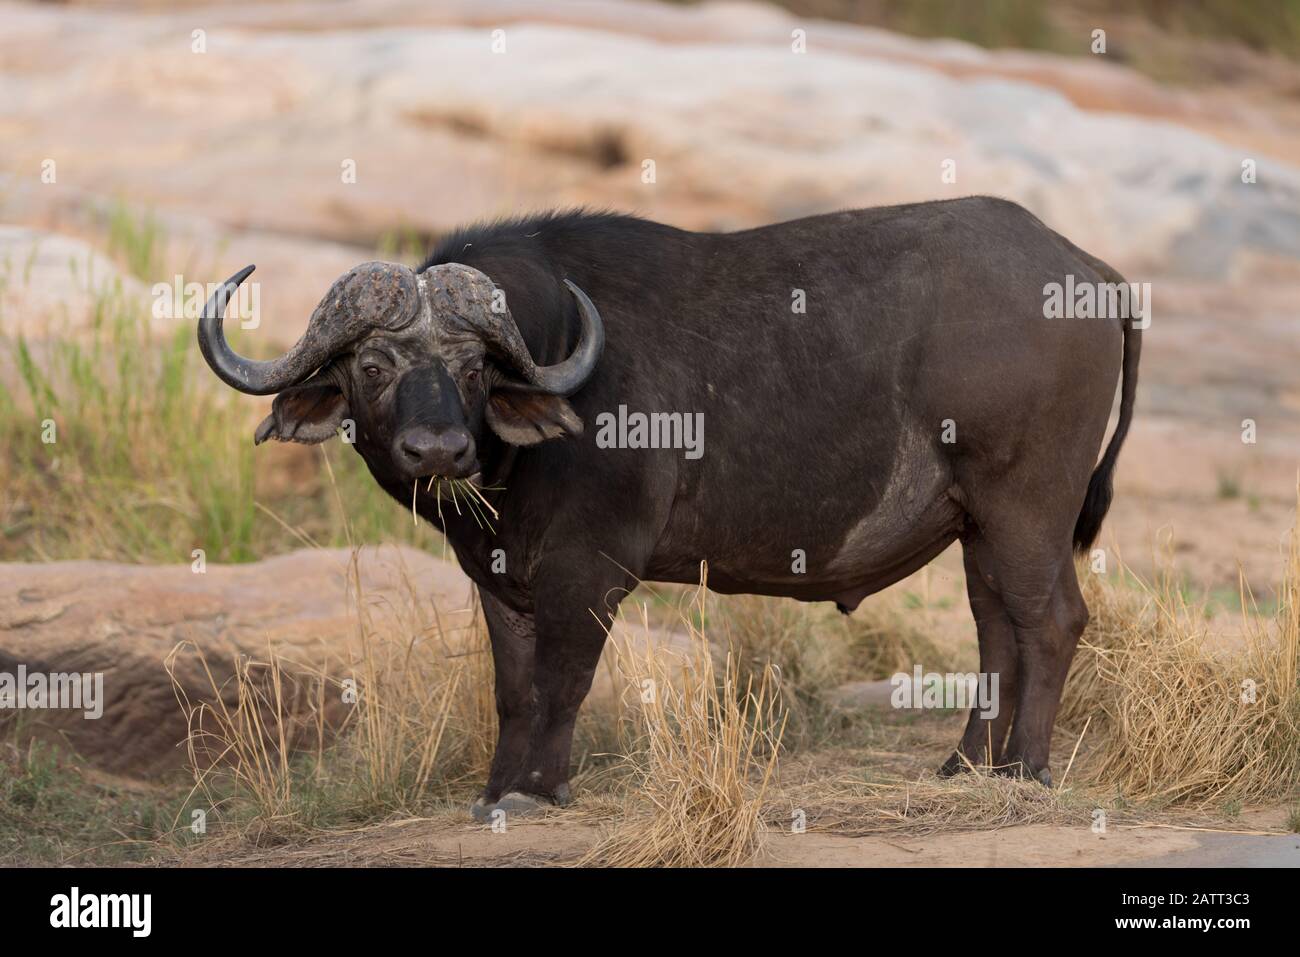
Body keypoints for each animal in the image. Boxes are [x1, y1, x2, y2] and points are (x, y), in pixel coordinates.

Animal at [198, 197, 1140, 818]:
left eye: (472, 368)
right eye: (372, 366)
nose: (438, 449)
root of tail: (1088, 272)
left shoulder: (590, 567)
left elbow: (563, 678)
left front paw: (539, 790)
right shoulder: (499, 580)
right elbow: (511, 688)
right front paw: (496, 788)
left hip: (1026, 507)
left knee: (1050, 619)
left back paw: (1024, 770)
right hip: (977, 524)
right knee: (996, 630)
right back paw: (964, 763)